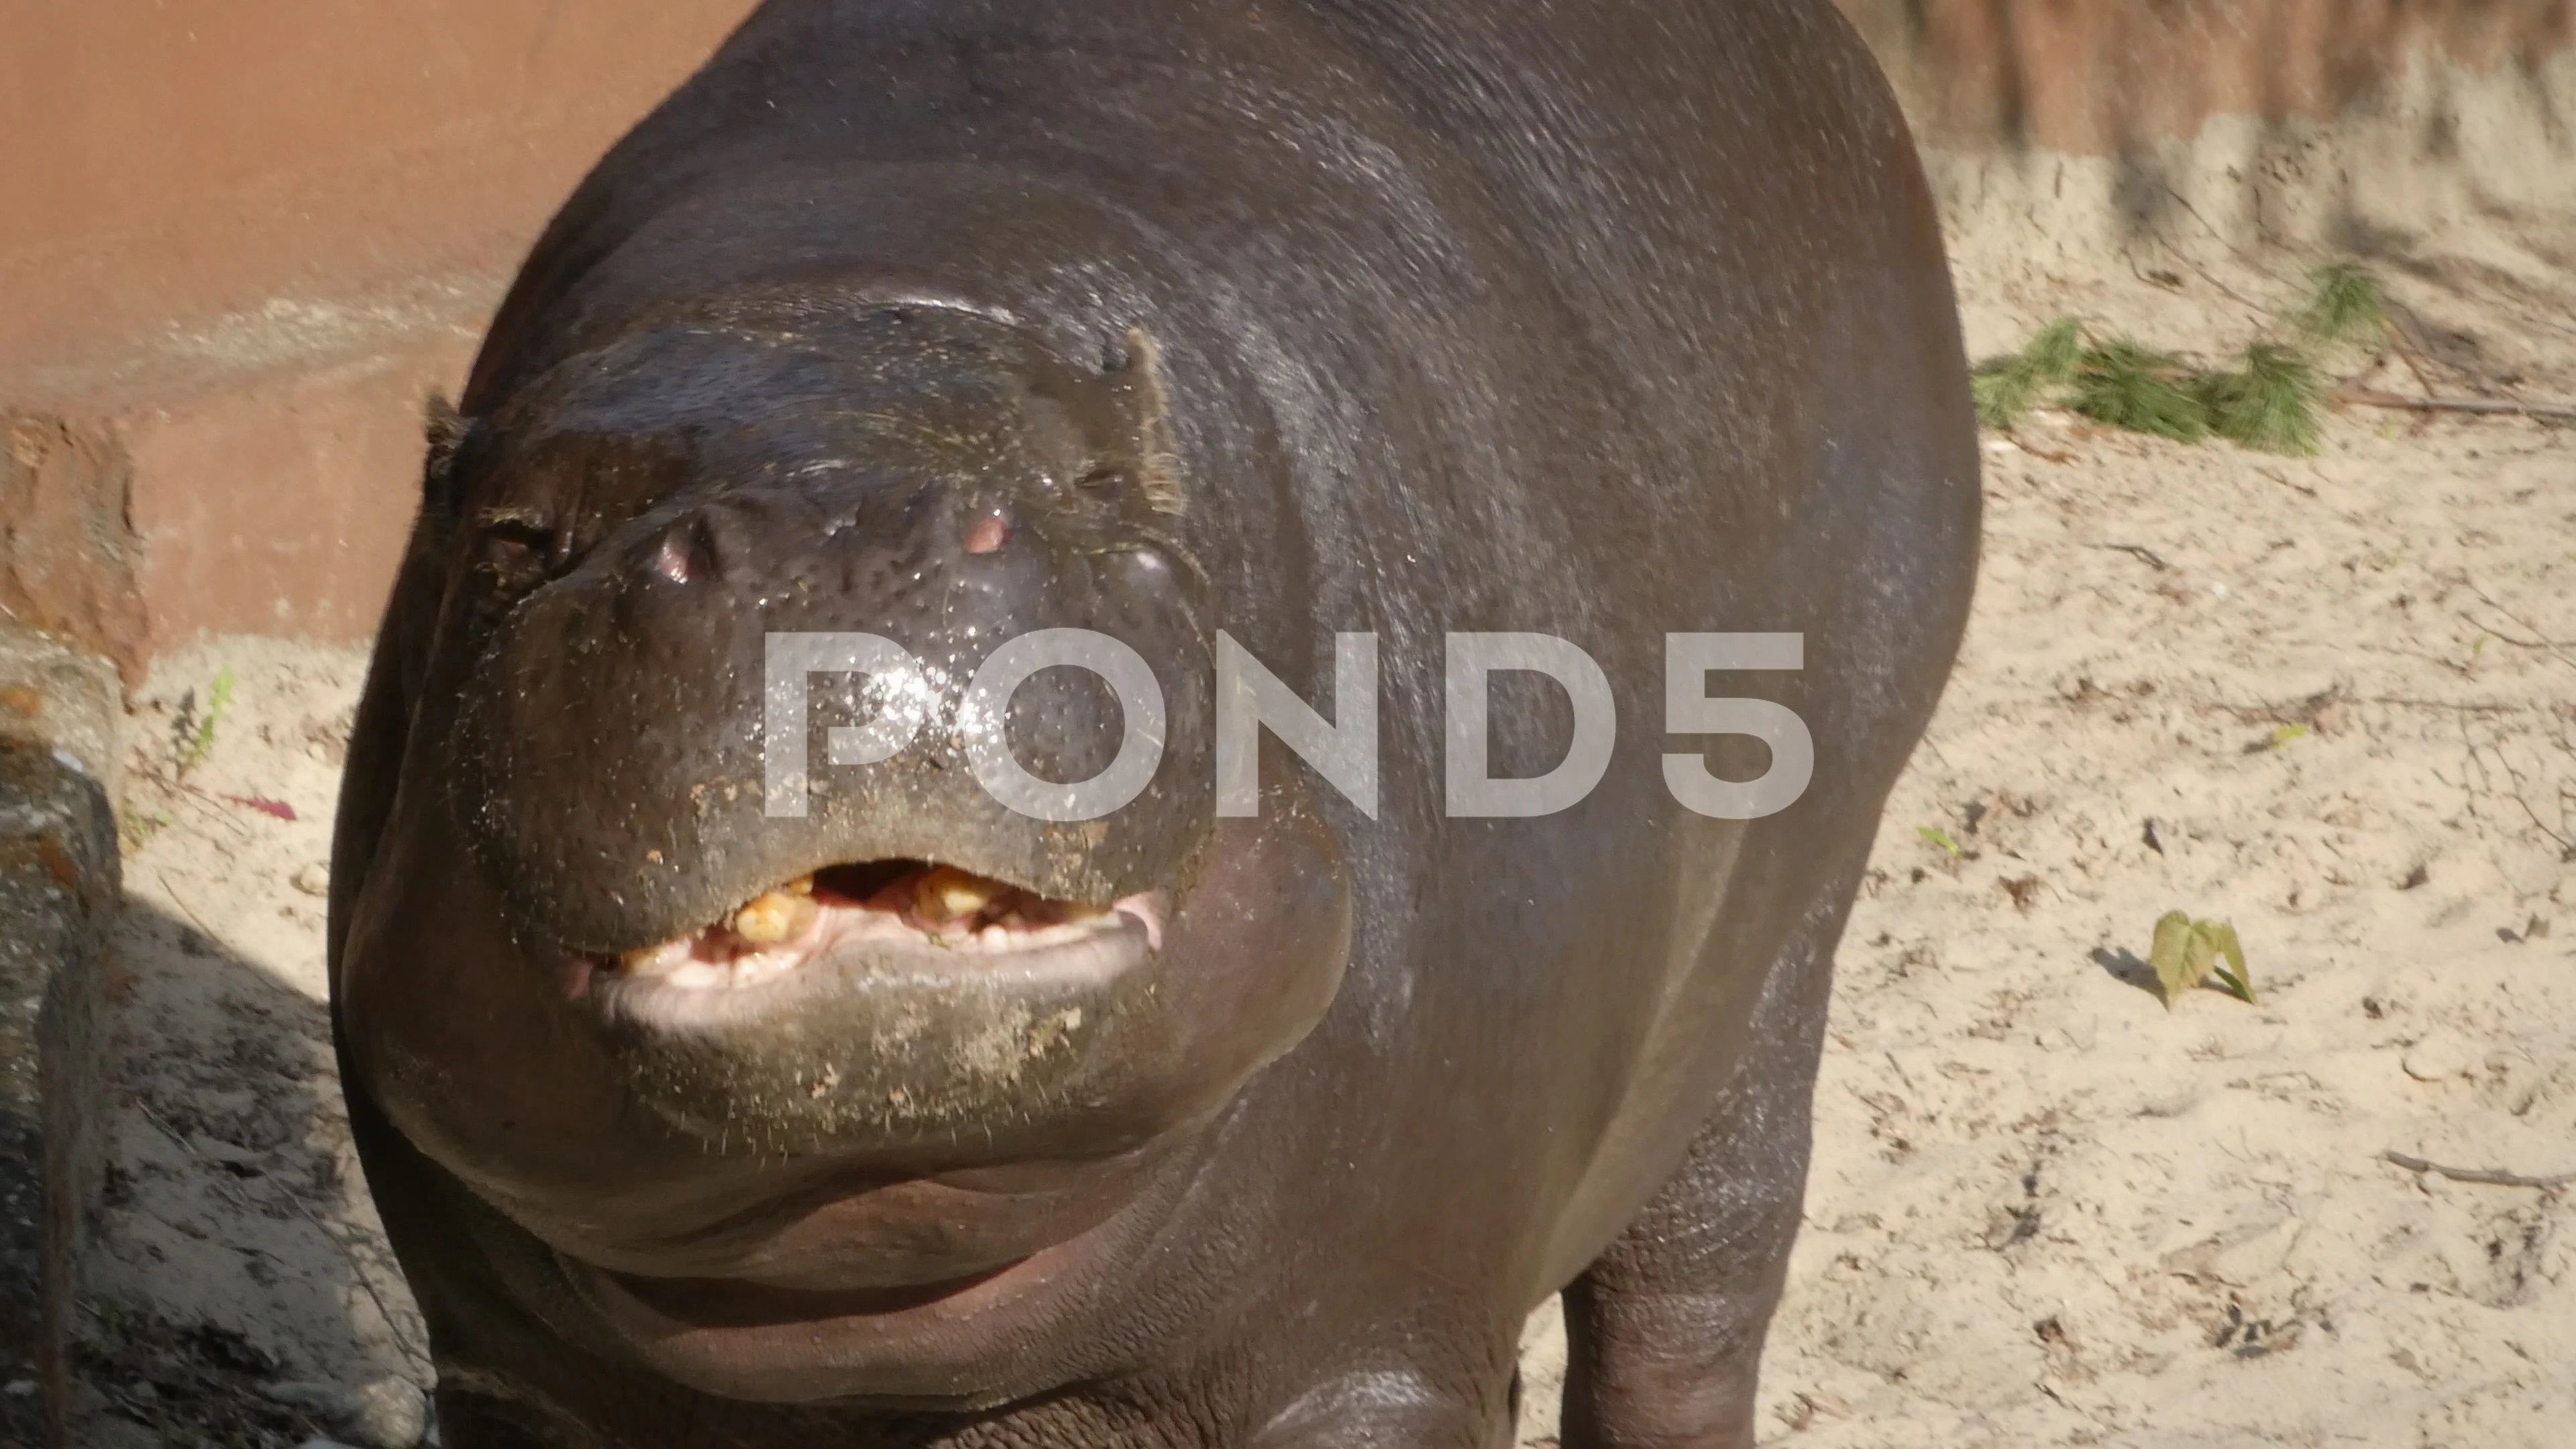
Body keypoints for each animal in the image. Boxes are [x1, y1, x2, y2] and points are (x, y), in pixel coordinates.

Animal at [326, 1, 1979, 1444]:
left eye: (1102, 484)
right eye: (509, 536)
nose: (834, 538)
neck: (831, 303)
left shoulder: (1365, 1355)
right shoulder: (514, 1379)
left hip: (1776, 963)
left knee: (1694, 1295)